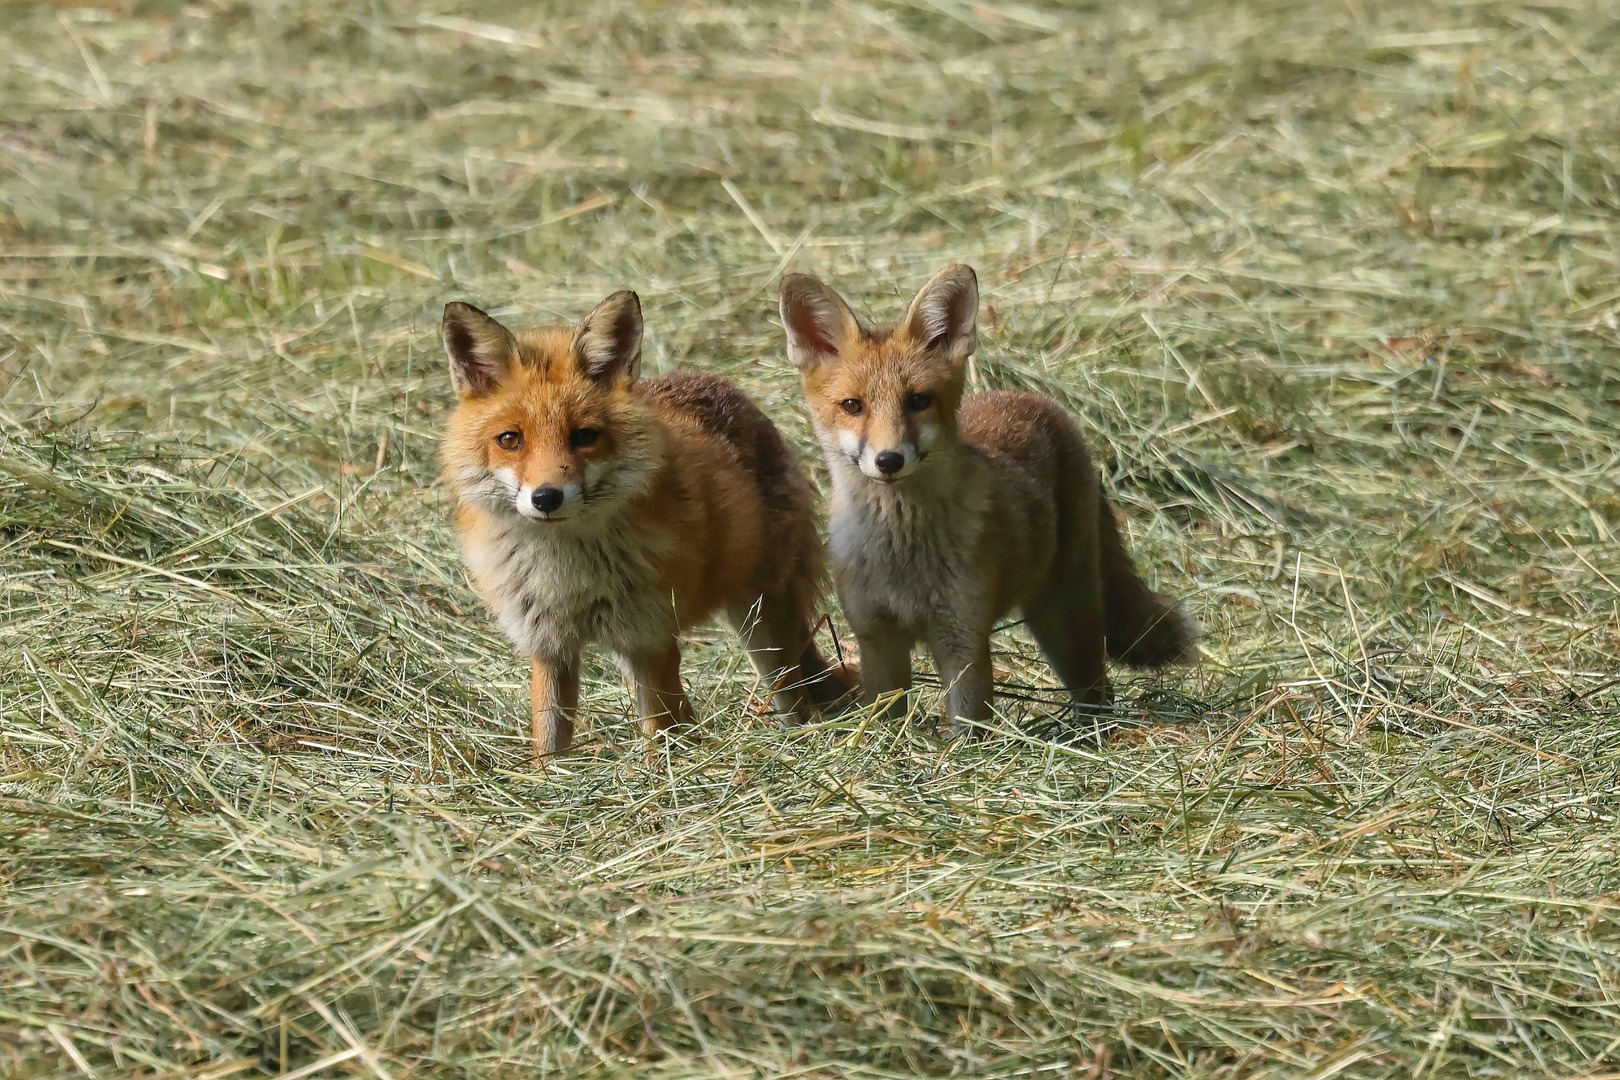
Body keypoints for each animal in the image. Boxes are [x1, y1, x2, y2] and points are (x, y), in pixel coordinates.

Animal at [437, 286, 855, 761]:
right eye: (510, 440)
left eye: (585, 436)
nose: (546, 498)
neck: (568, 574)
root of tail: (724, 387)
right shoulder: (549, 646)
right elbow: (548, 740)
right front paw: (548, 776)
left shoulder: (649, 639)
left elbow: (659, 733)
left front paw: (662, 775)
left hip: (763, 625)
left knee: (793, 698)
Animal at [777, 263, 1198, 735]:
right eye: (852, 405)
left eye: (918, 401)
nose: (888, 460)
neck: (903, 559)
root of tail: (1034, 399)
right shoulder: (876, 637)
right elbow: (885, 716)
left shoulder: (963, 639)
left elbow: (968, 727)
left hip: (1066, 623)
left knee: (1098, 691)